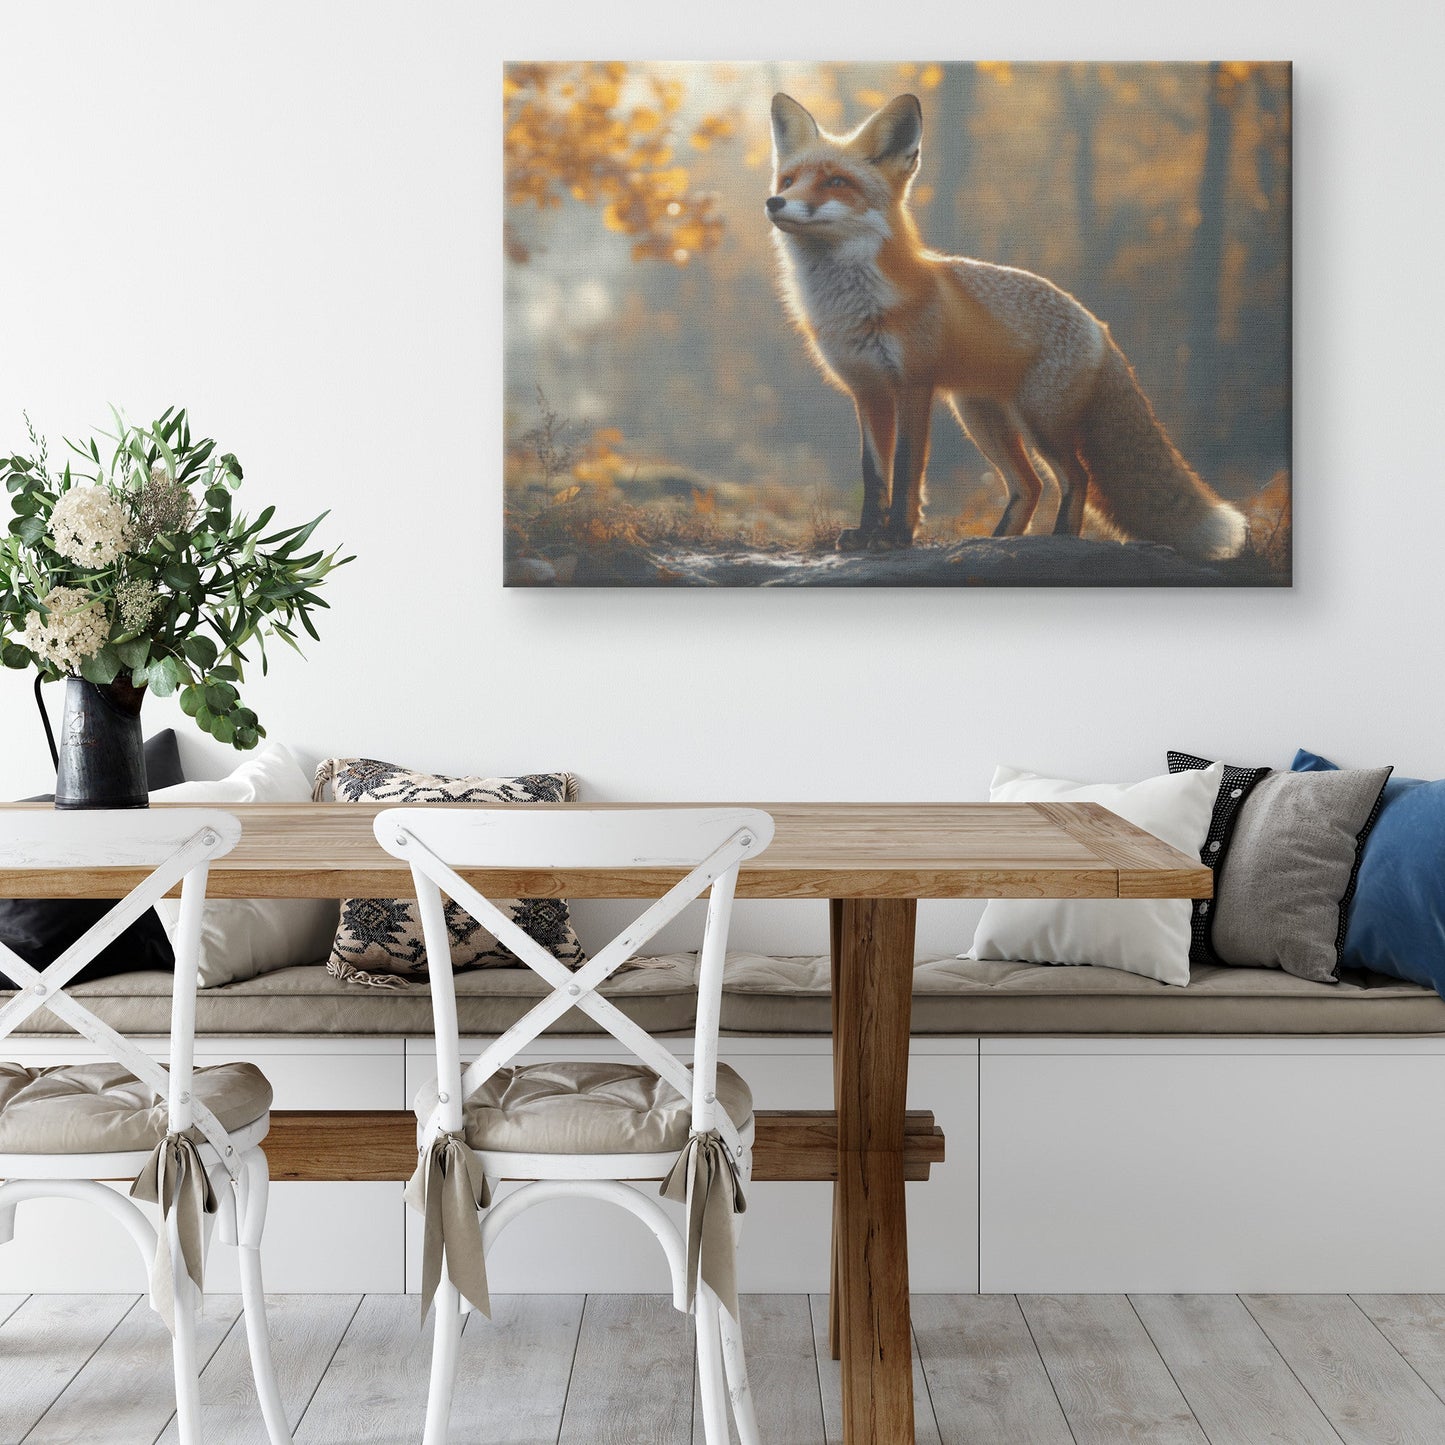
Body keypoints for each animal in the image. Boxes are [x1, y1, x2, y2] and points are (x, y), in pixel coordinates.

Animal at [766, 91, 1248, 560]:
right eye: (788, 181)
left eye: (835, 182)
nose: (774, 202)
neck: (855, 304)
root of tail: (1098, 325)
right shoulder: (868, 392)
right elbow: (874, 476)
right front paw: (867, 534)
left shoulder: (913, 386)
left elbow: (905, 472)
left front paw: (896, 536)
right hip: (982, 419)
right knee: (1029, 486)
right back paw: (997, 543)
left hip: (1038, 421)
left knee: (1076, 477)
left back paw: (1059, 541)